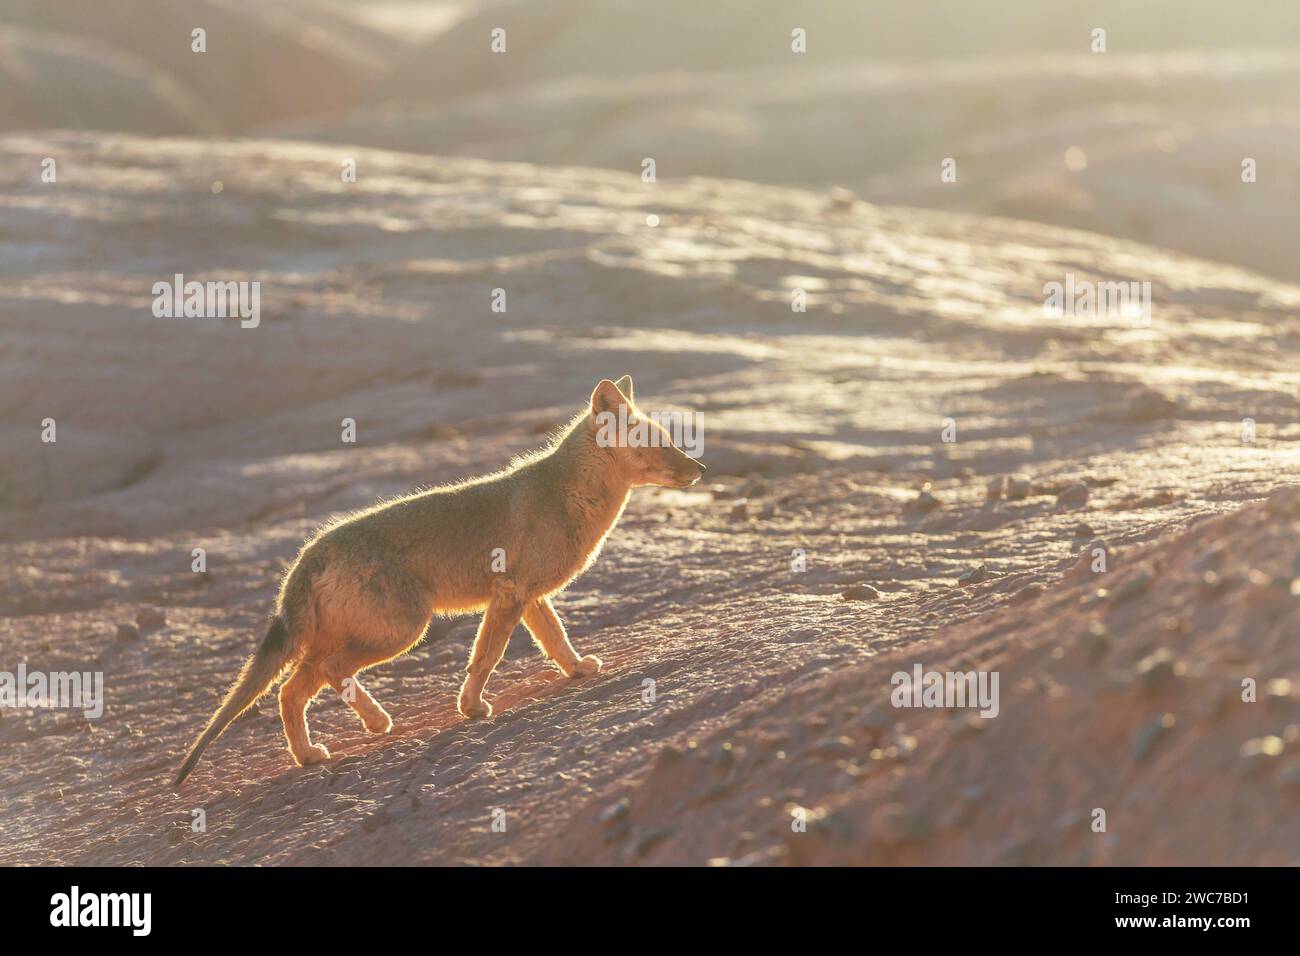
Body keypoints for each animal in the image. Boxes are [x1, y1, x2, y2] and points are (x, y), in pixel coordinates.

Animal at [174, 376, 704, 787]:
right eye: (661, 442)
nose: (700, 468)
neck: (566, 493)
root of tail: (308, 553)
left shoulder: (529, 598)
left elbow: (556, 641)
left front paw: (575, 671)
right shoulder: (511, 596)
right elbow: (486, 656)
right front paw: (471, 708)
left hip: (352, 637)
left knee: (291, 689)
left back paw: (310, 754)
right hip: (403, 630)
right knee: (324, 672)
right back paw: (374, 722)